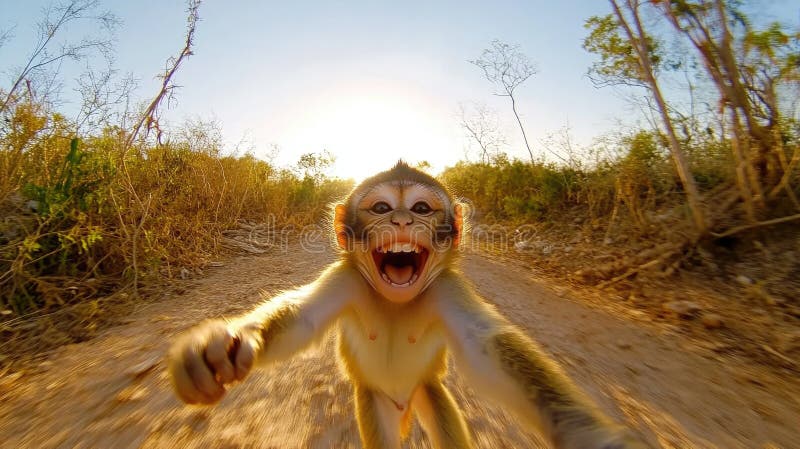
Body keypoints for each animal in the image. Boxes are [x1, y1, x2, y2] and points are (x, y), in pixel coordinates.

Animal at [167, 161, 647, 449]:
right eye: (381, 208)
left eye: (421, 208)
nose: (401, 220)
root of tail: (402, 403)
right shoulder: (347, 278)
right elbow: (303, 318)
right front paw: (224, 343)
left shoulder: (448, 288)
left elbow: (486, 345)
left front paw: (586, 432)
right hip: (374, 401)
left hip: (428, 391)